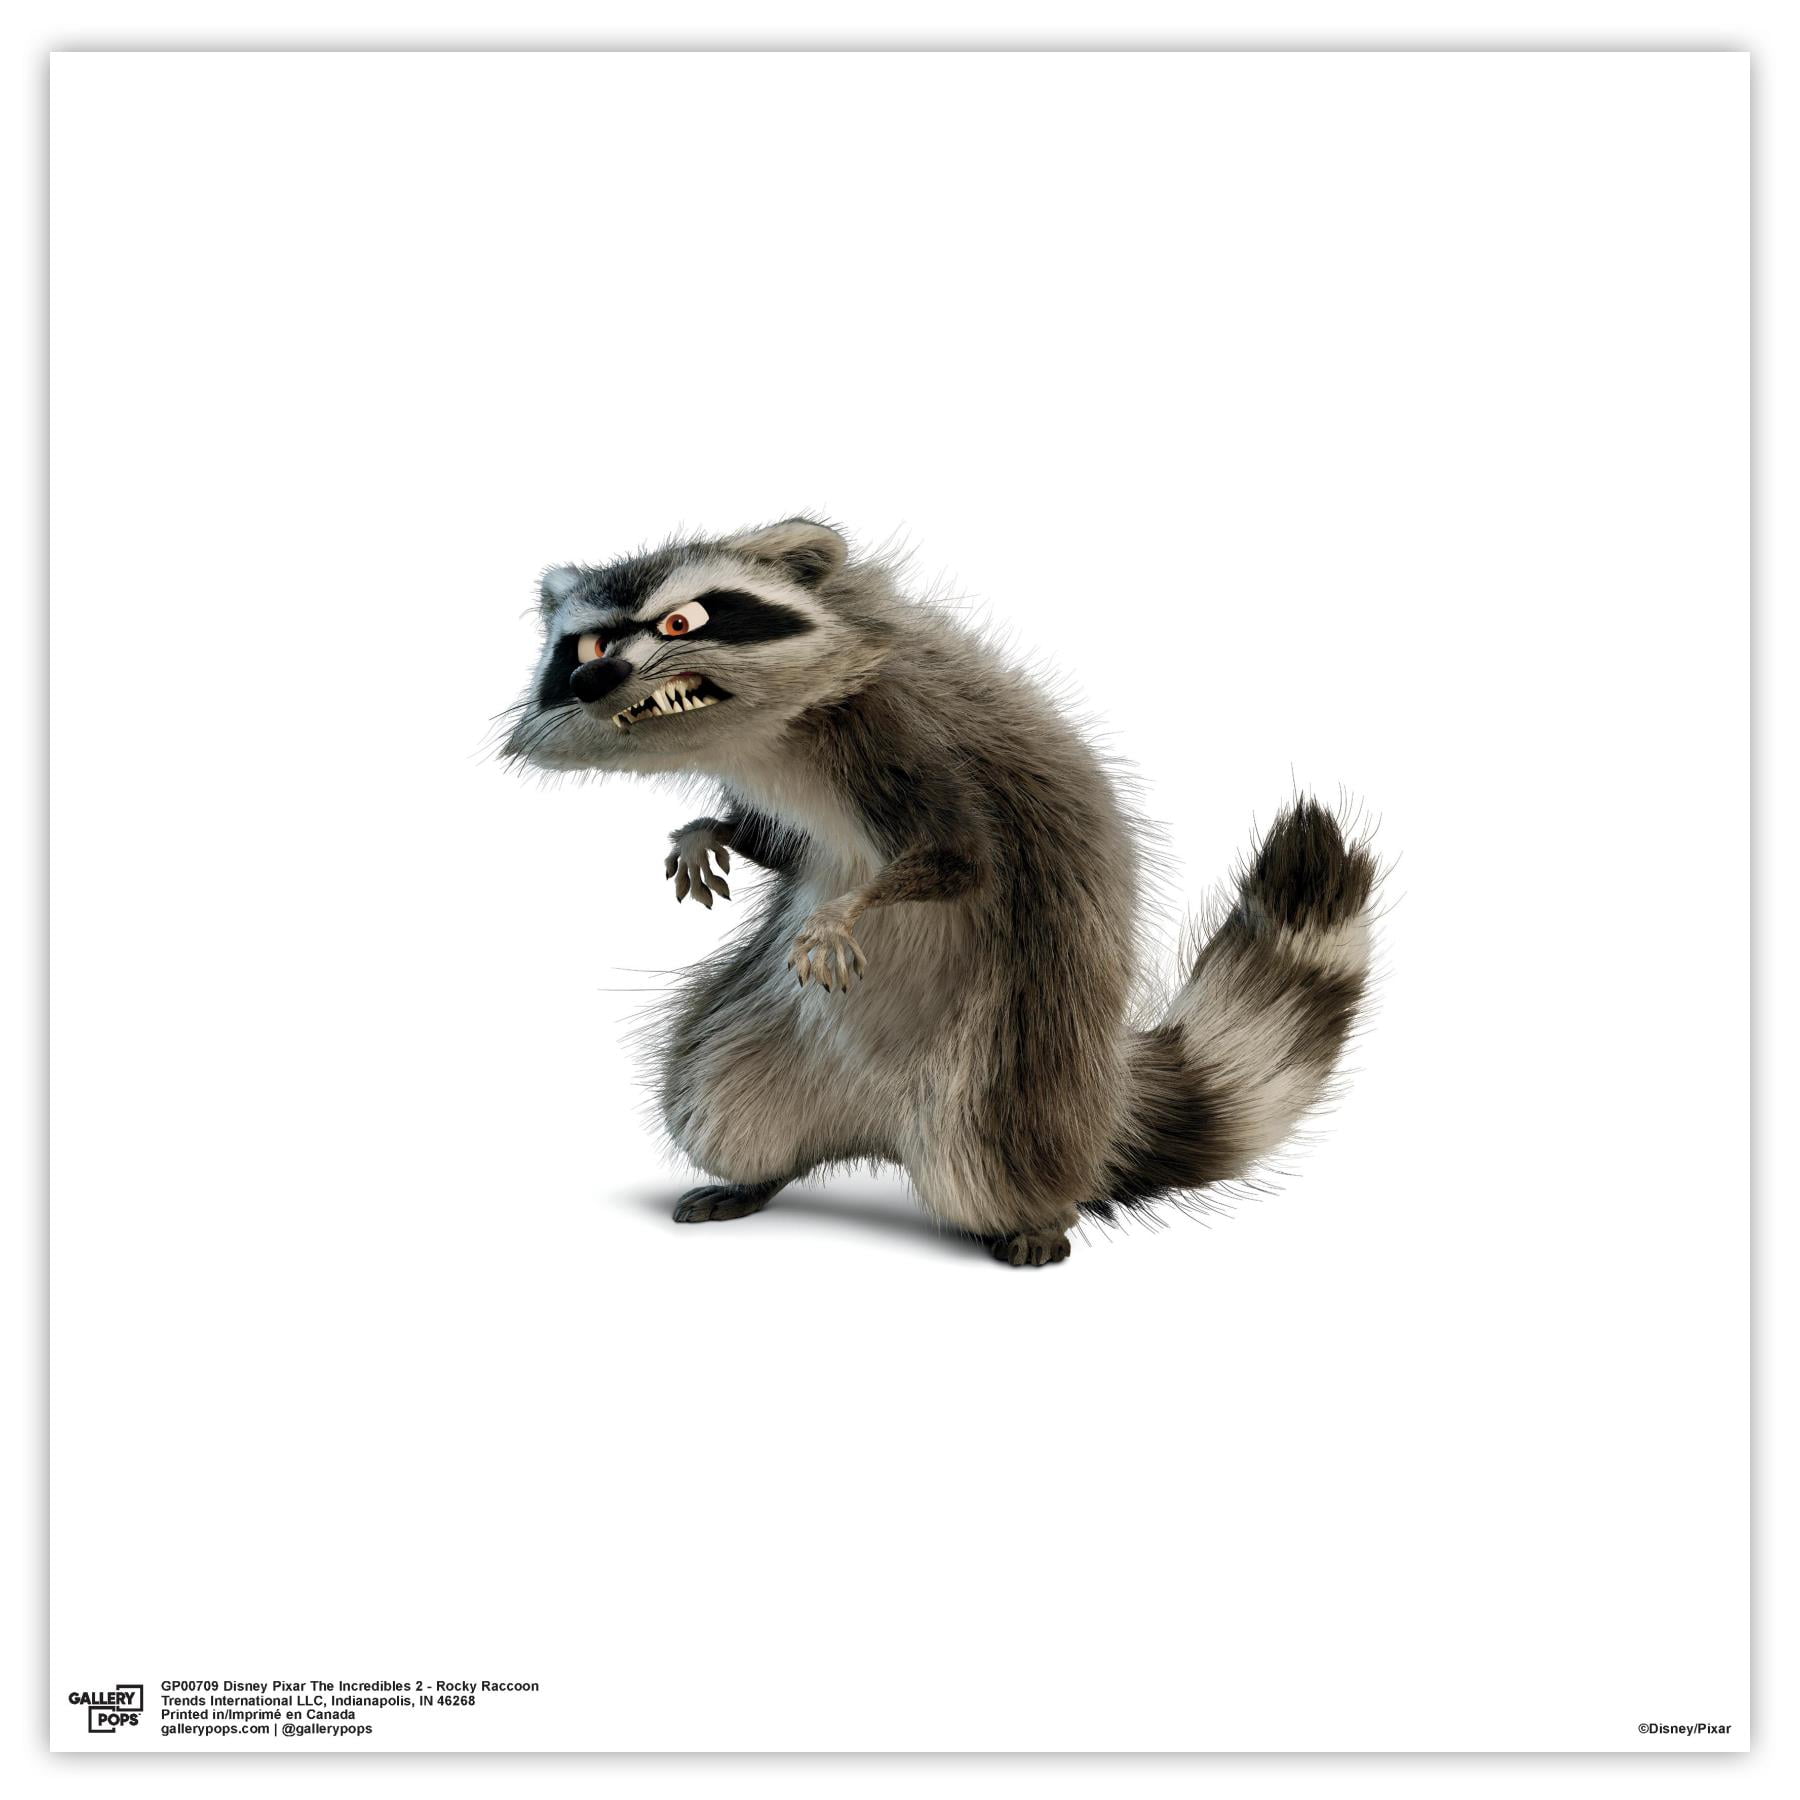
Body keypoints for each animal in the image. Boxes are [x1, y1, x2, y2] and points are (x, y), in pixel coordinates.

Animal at [501, 518, 1376, 1266]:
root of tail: (876, 1129)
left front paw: (847, 908)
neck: (768, 730)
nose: (596, 675)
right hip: (757, 1032)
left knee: (997, 1154)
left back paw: (1037, 1212)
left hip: (1012, 1055)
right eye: (588, 642)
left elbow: (962, 857)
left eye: (682, 623)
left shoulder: (898, 734)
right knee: (711, 1088)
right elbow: (778, 843)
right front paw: (707, 831)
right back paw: (755, 1173)